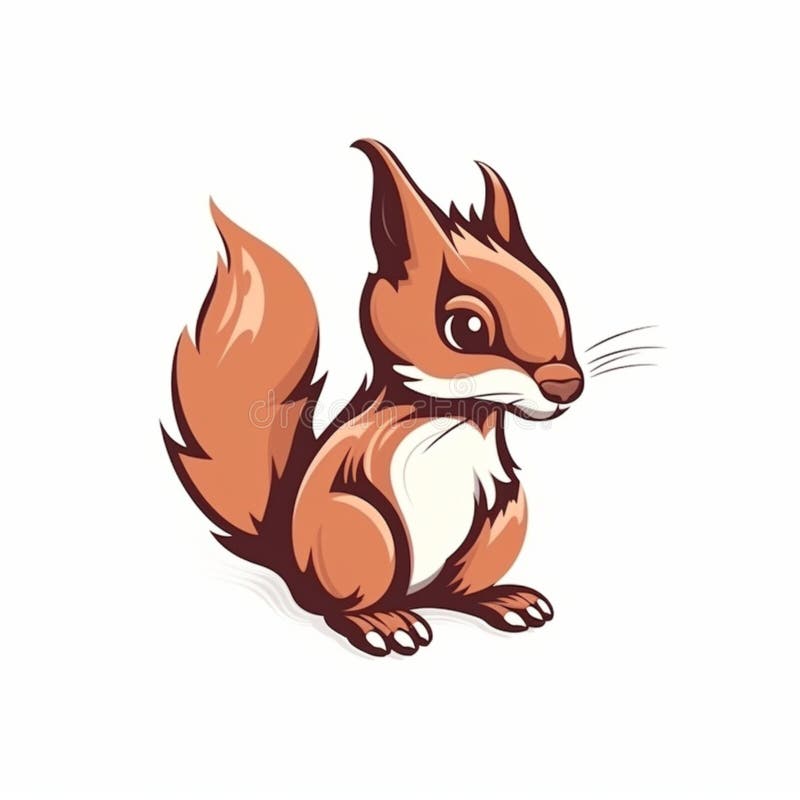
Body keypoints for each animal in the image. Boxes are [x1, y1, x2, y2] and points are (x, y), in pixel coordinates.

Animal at [163, 140, 584, 656]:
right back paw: (380, 621)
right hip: (361, 531)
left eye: (558, 298)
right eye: (466, 327)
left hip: (503, 523)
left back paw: (500, 600)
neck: (460, 415)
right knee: (336, 606)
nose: (566, 385)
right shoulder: (371, 453)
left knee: (455, 590)